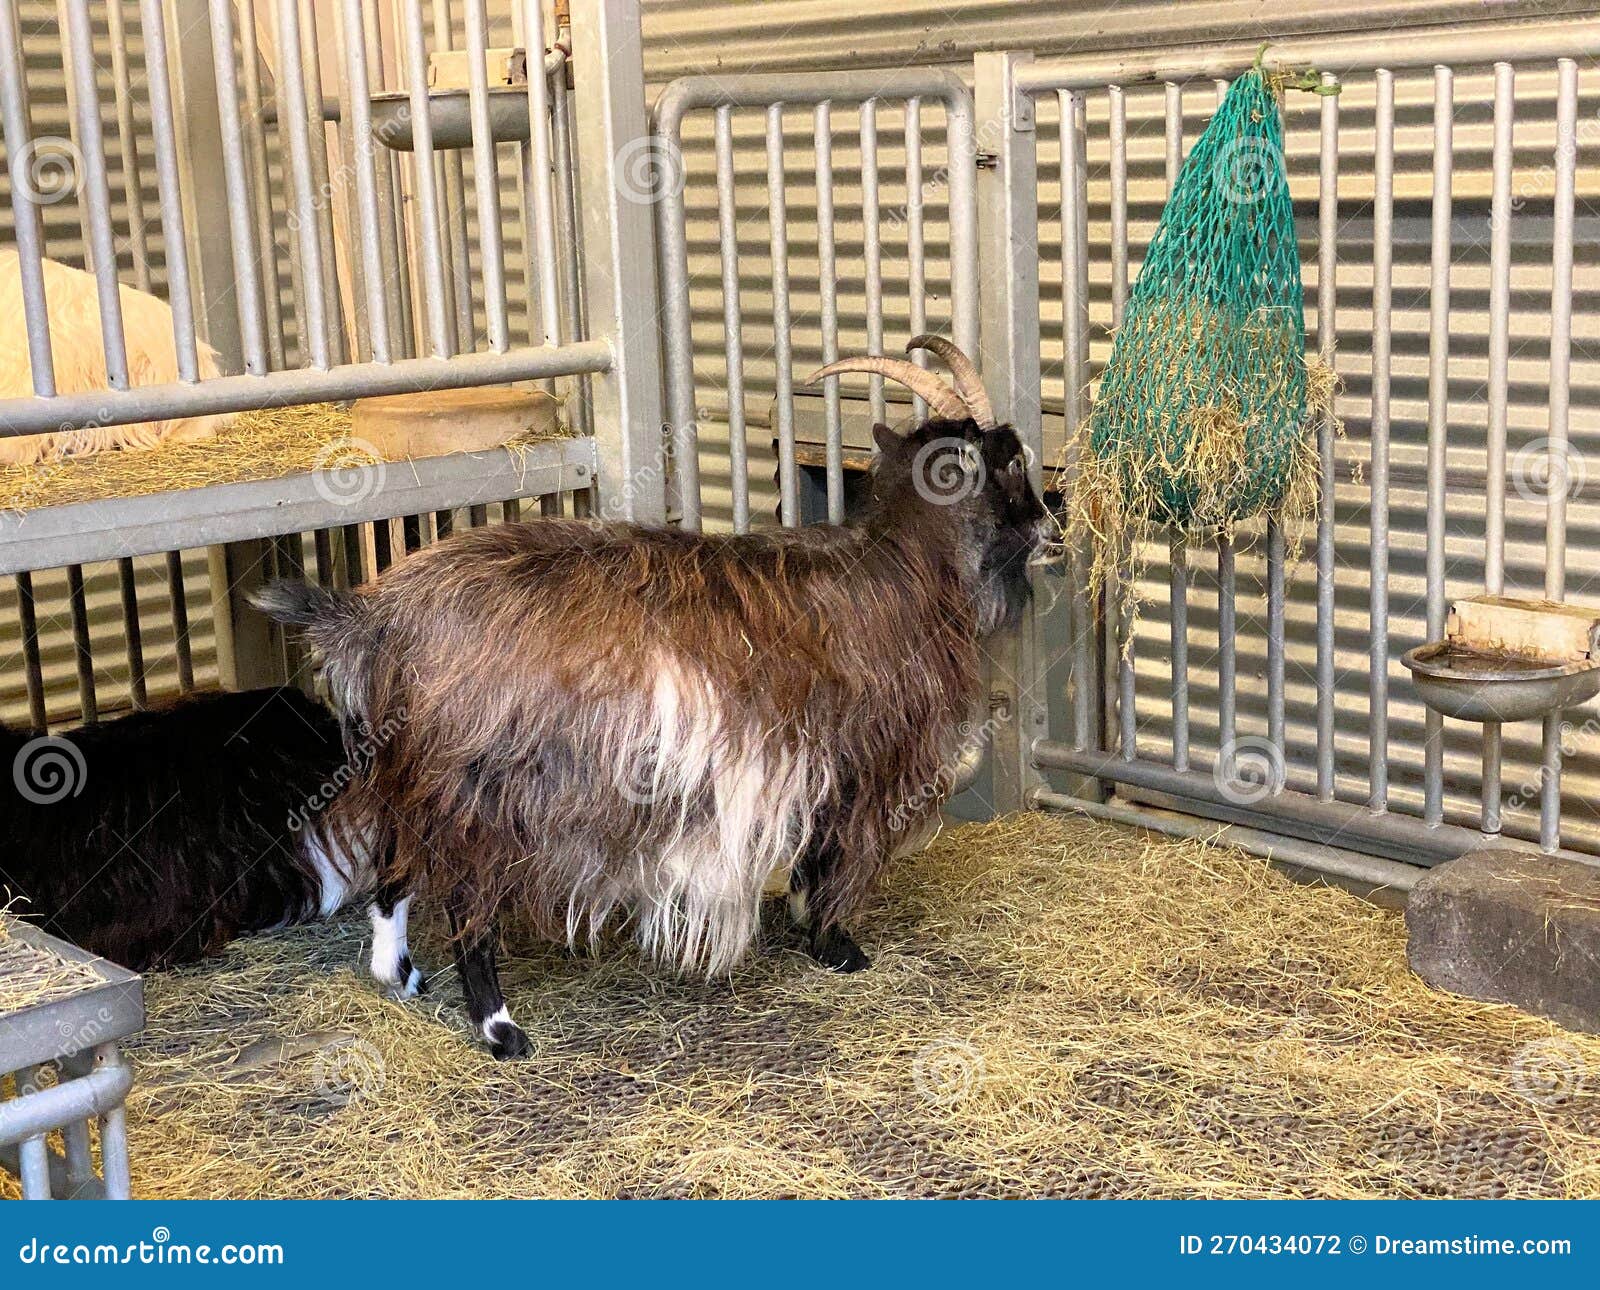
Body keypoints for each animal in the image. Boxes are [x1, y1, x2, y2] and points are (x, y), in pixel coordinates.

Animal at [255, 337, 1051, 1058]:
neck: (901, 569)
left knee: (394, 860)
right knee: (462, 892)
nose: (1051, 522)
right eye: (1010, 460)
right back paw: (501, 1029)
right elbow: (831, 846)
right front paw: (837, 945)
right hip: (489, 783)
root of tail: (378, 614)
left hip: (419, 768)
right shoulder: (861, 753)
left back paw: (398, 973)